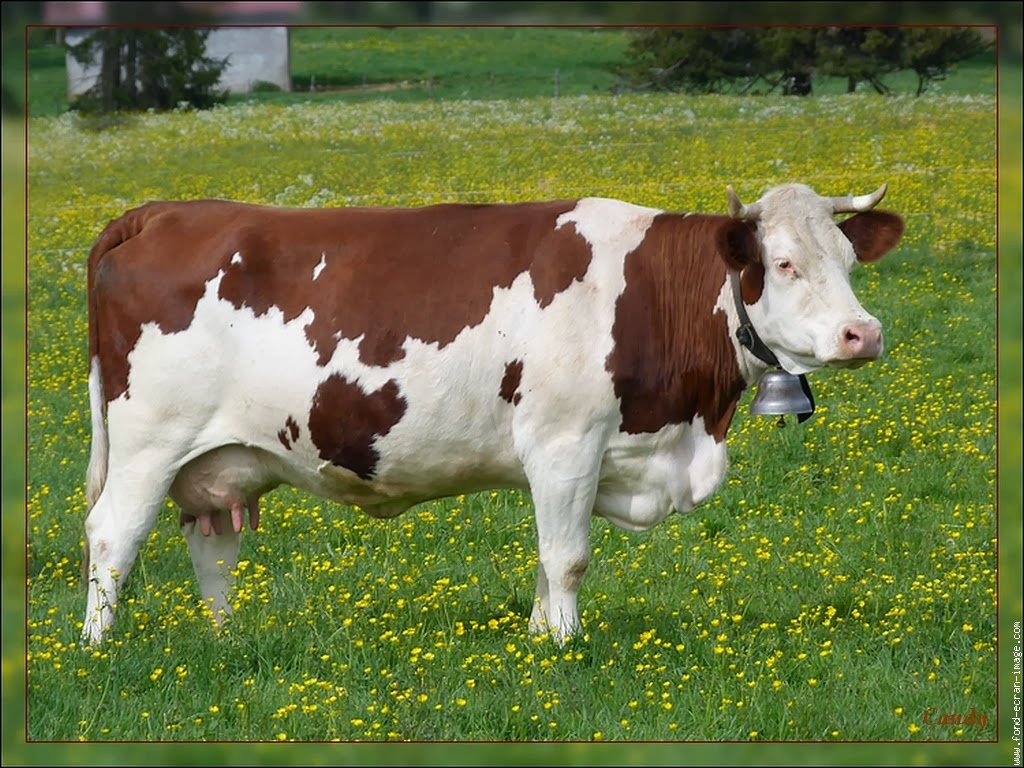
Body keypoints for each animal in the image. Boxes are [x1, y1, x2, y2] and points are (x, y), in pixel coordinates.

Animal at [81, 182, 904, 645]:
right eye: (785, 263)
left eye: (849, 262)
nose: (863, 333)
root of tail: (165, 211)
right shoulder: (565, 441)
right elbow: (568, 556)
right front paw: (567, 649)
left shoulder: (578, 459)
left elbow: (547, 555)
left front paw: (540, 639)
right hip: (148, 440)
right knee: (113, 535)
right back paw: (97, 648)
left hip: (212, 457)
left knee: (210, 546)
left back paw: (226, 643)